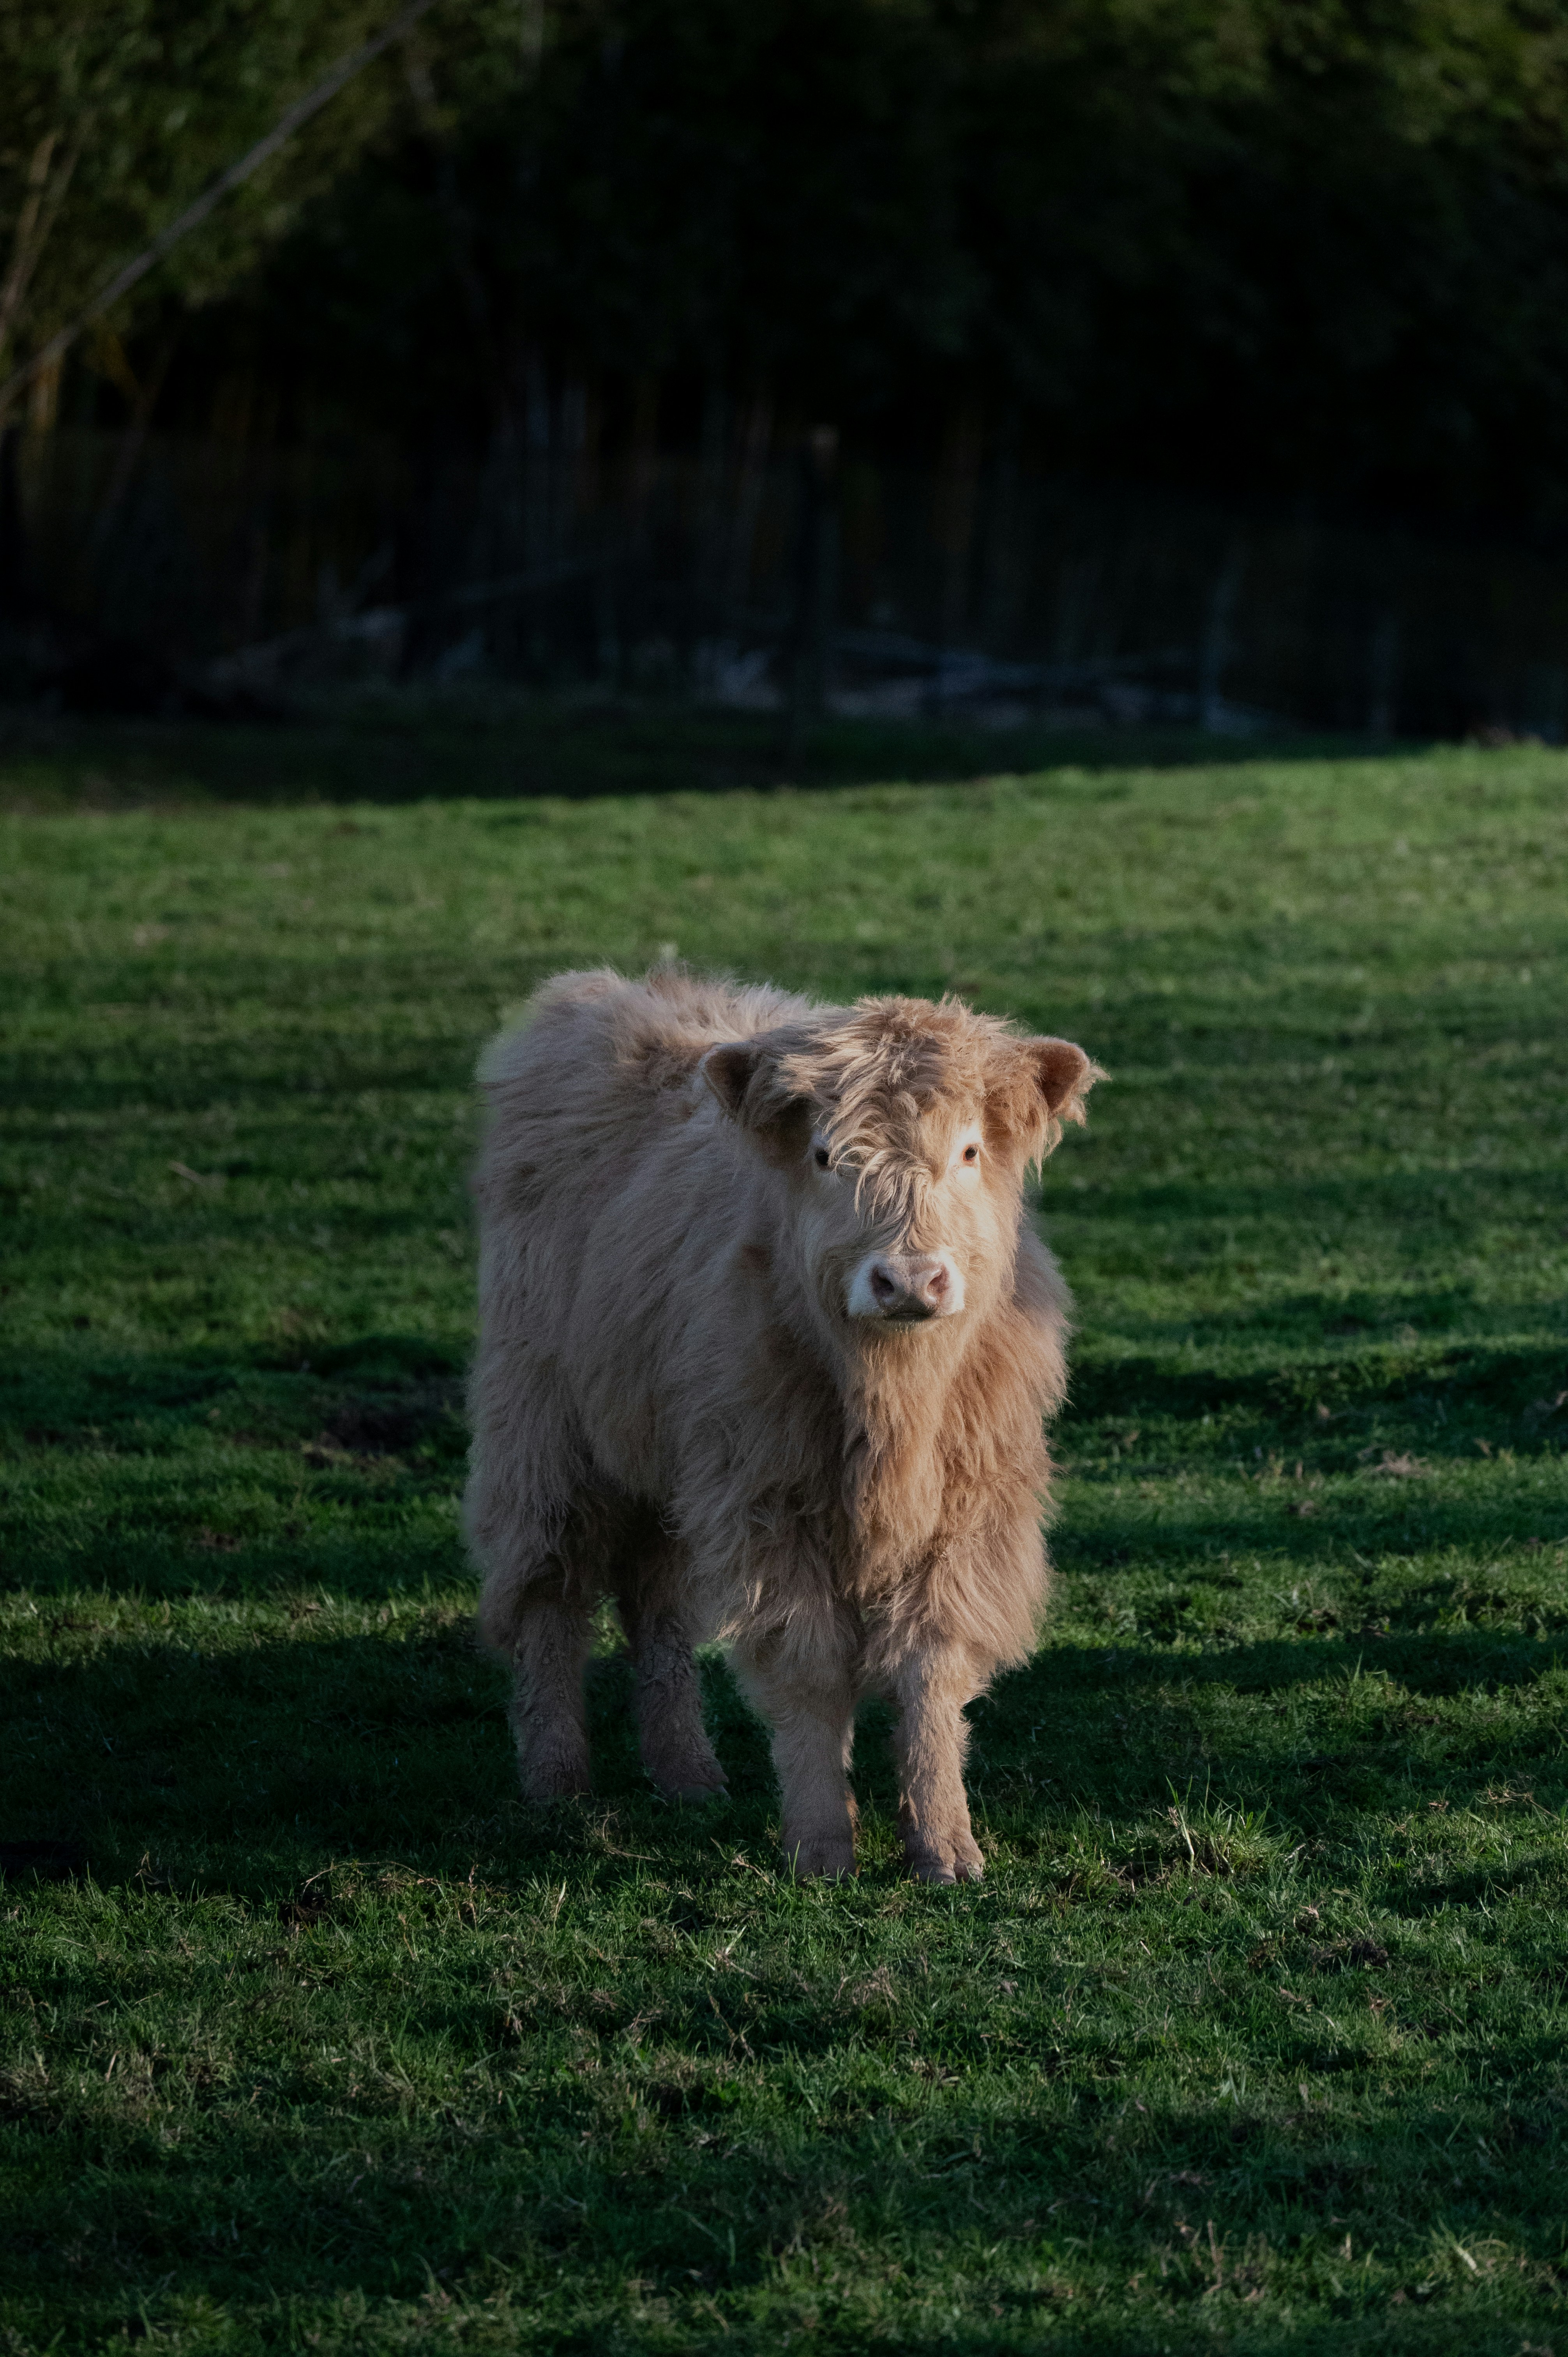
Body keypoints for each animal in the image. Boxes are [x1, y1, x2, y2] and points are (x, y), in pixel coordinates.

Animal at [466, 966, 1098, 1881]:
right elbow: (807, 1673)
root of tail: (626, 989)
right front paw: (822, 1845)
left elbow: (930, 1670)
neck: (891, 1404)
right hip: (542, 1427)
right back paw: (557, 1779)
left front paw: (945, 1846)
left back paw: (687, 1774)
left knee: (658, 1607)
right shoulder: (768, 1504)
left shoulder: (970, 1514)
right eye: (826, 1156)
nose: (909, 1280)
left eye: (969, 1152)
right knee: (551, 1593)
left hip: (669, 1467)